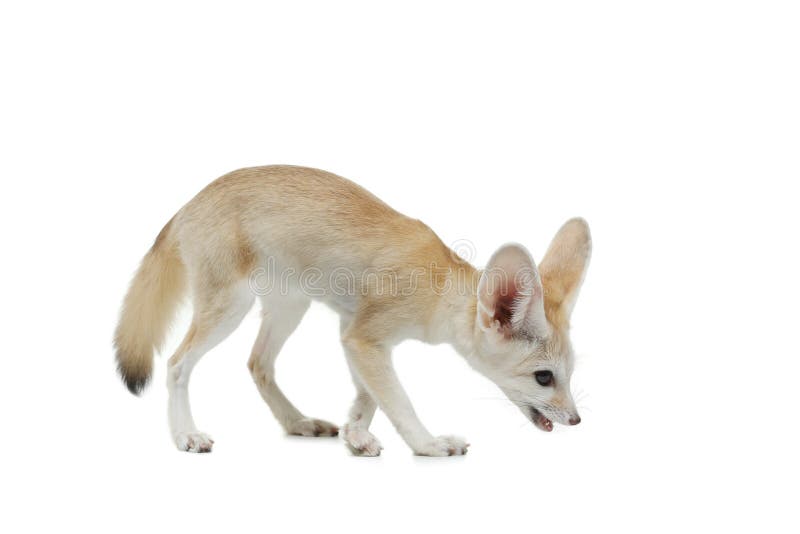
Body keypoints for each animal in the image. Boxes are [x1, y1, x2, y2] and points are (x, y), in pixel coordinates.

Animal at [114, 165, 591, 456]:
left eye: (571, 373)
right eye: (544, 377)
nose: (576, 420)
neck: (438, 287)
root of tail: (189, 203)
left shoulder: (352, 329)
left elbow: (368, 397)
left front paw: (357, 435)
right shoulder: (364, 337)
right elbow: (397, 400)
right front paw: (427, 443)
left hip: (290, 307)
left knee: (257, 364)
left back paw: (298, 422)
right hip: (230, 307)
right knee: (176, 364)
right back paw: (184, 434)